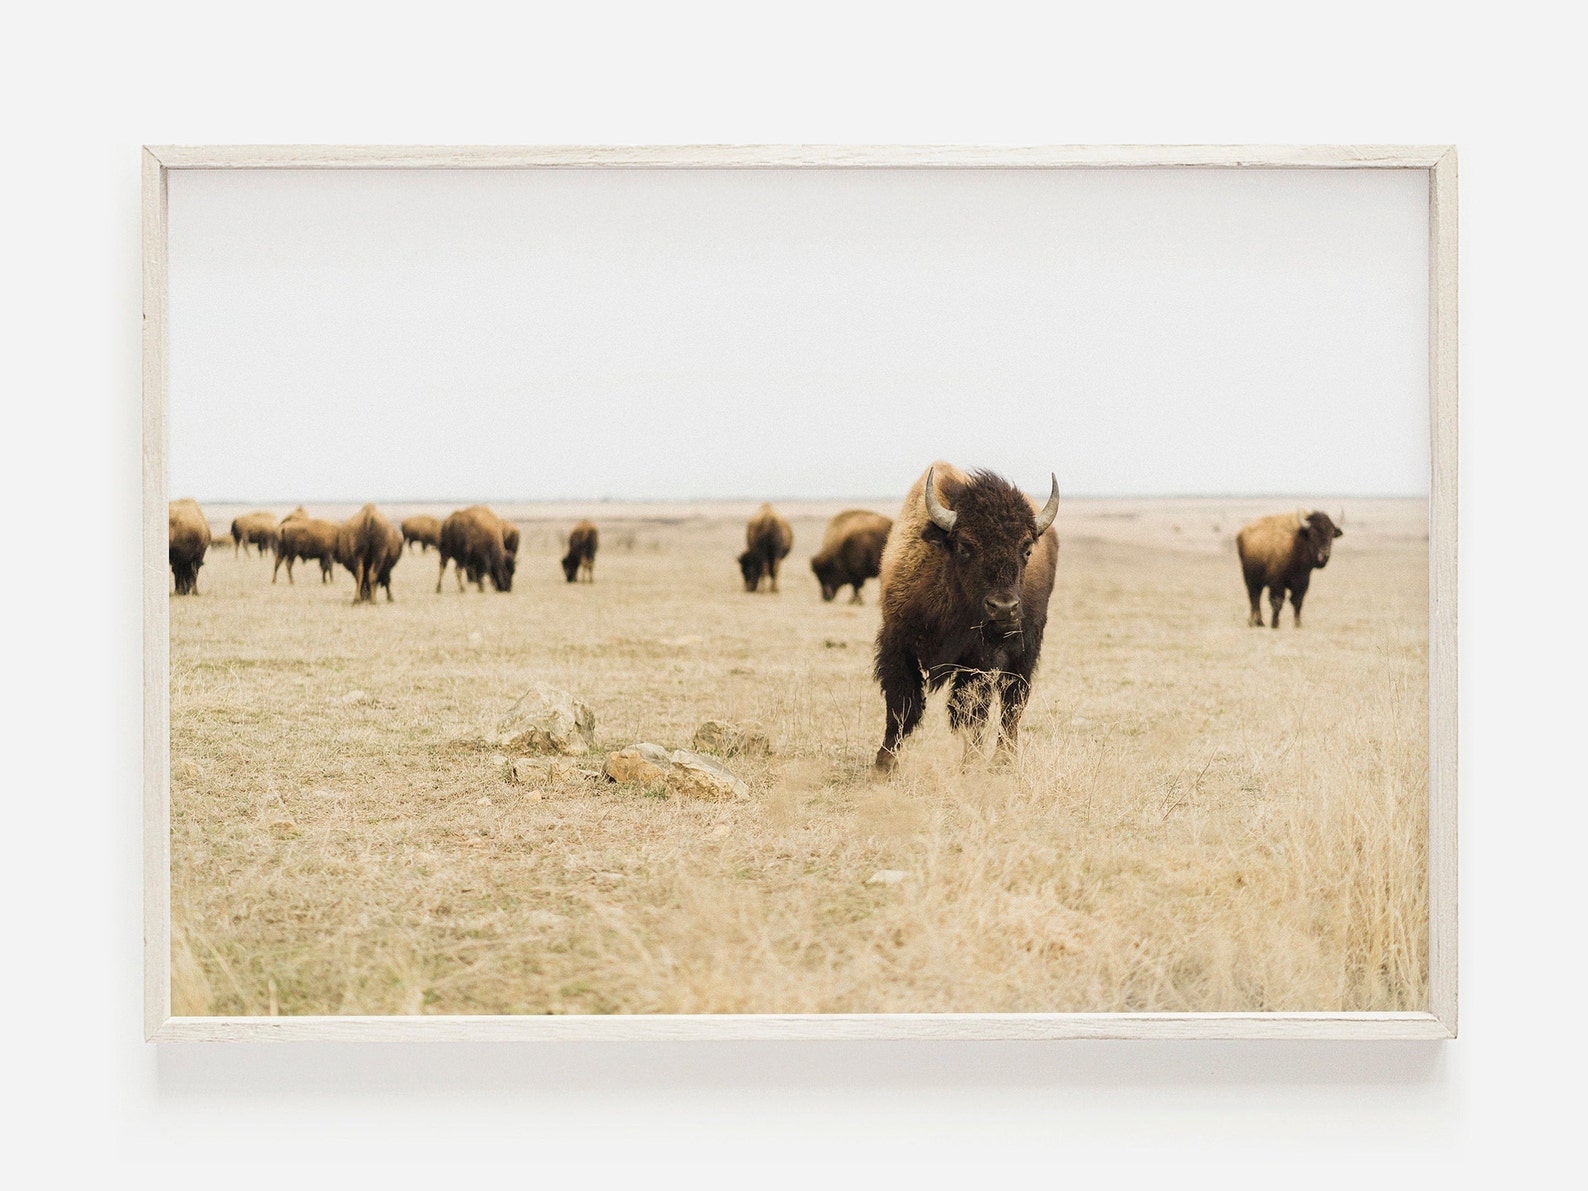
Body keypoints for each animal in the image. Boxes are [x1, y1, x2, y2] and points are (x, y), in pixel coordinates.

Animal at [872, 463, 1060, 773]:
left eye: (1027, 549)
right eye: (964, 547)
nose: (1004, 608)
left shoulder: (979, 660)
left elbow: (971, 711)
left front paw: (969, 765)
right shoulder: (897, 645)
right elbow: (901, 705)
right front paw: (884, 764)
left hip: (1026, 651)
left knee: (1012, 704)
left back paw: (1003, 759)